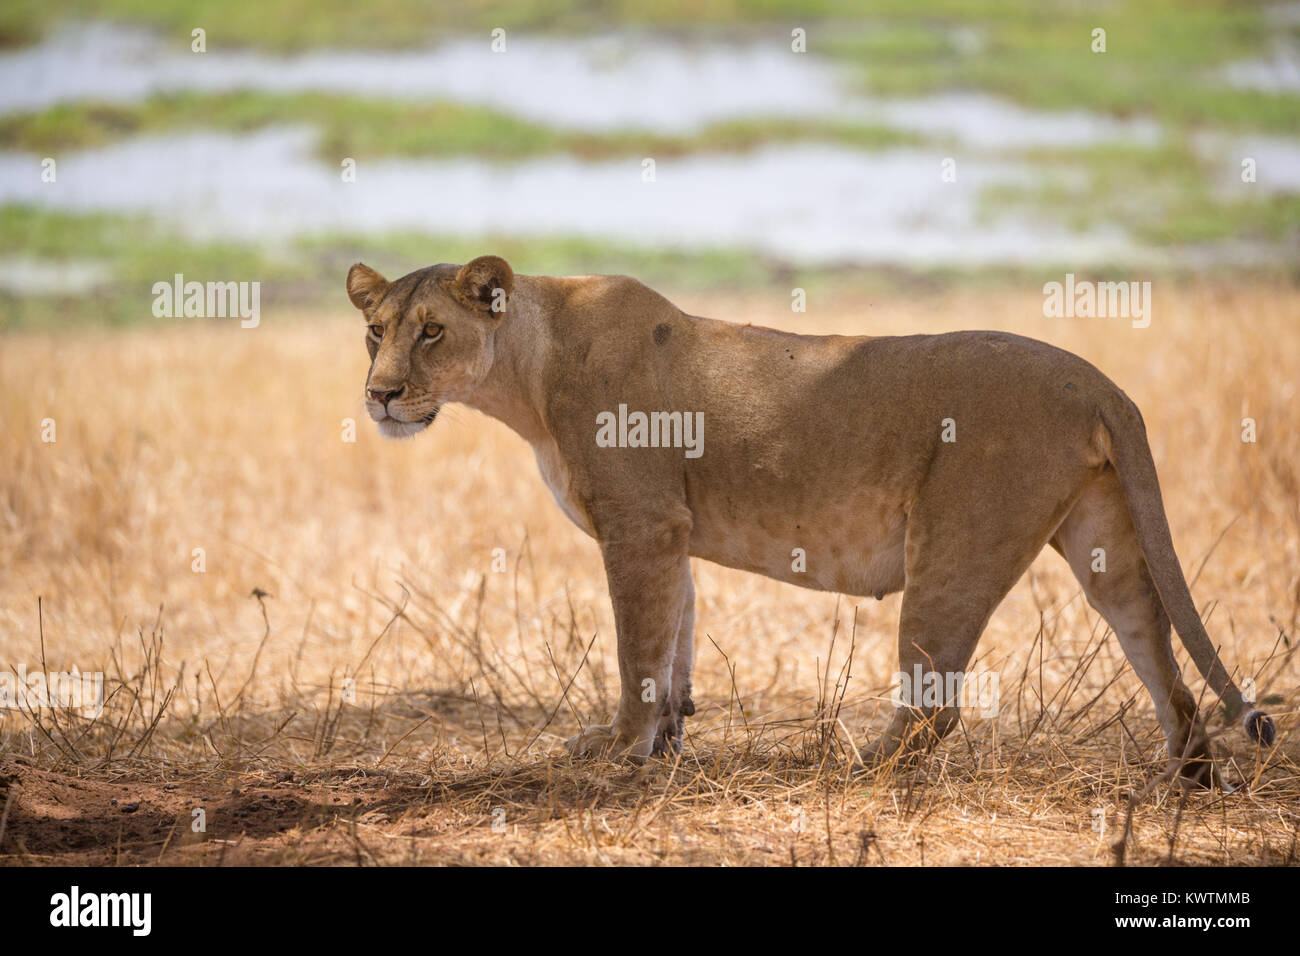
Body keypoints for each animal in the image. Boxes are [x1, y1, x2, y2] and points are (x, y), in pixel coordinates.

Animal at [346, 255, 1274, 784]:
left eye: (432, 332)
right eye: (374, 332)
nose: (379, 395)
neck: (530, 374)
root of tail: (1101, 381)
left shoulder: (639, 524)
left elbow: (638, 649)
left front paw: (619, 749)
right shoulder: (669, 531)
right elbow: (677, 637)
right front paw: (668, 746)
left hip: (955, 542)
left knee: (934, 703)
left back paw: (849, 767)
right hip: (1102, 536)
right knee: (1156, 645)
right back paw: (1180, 776)